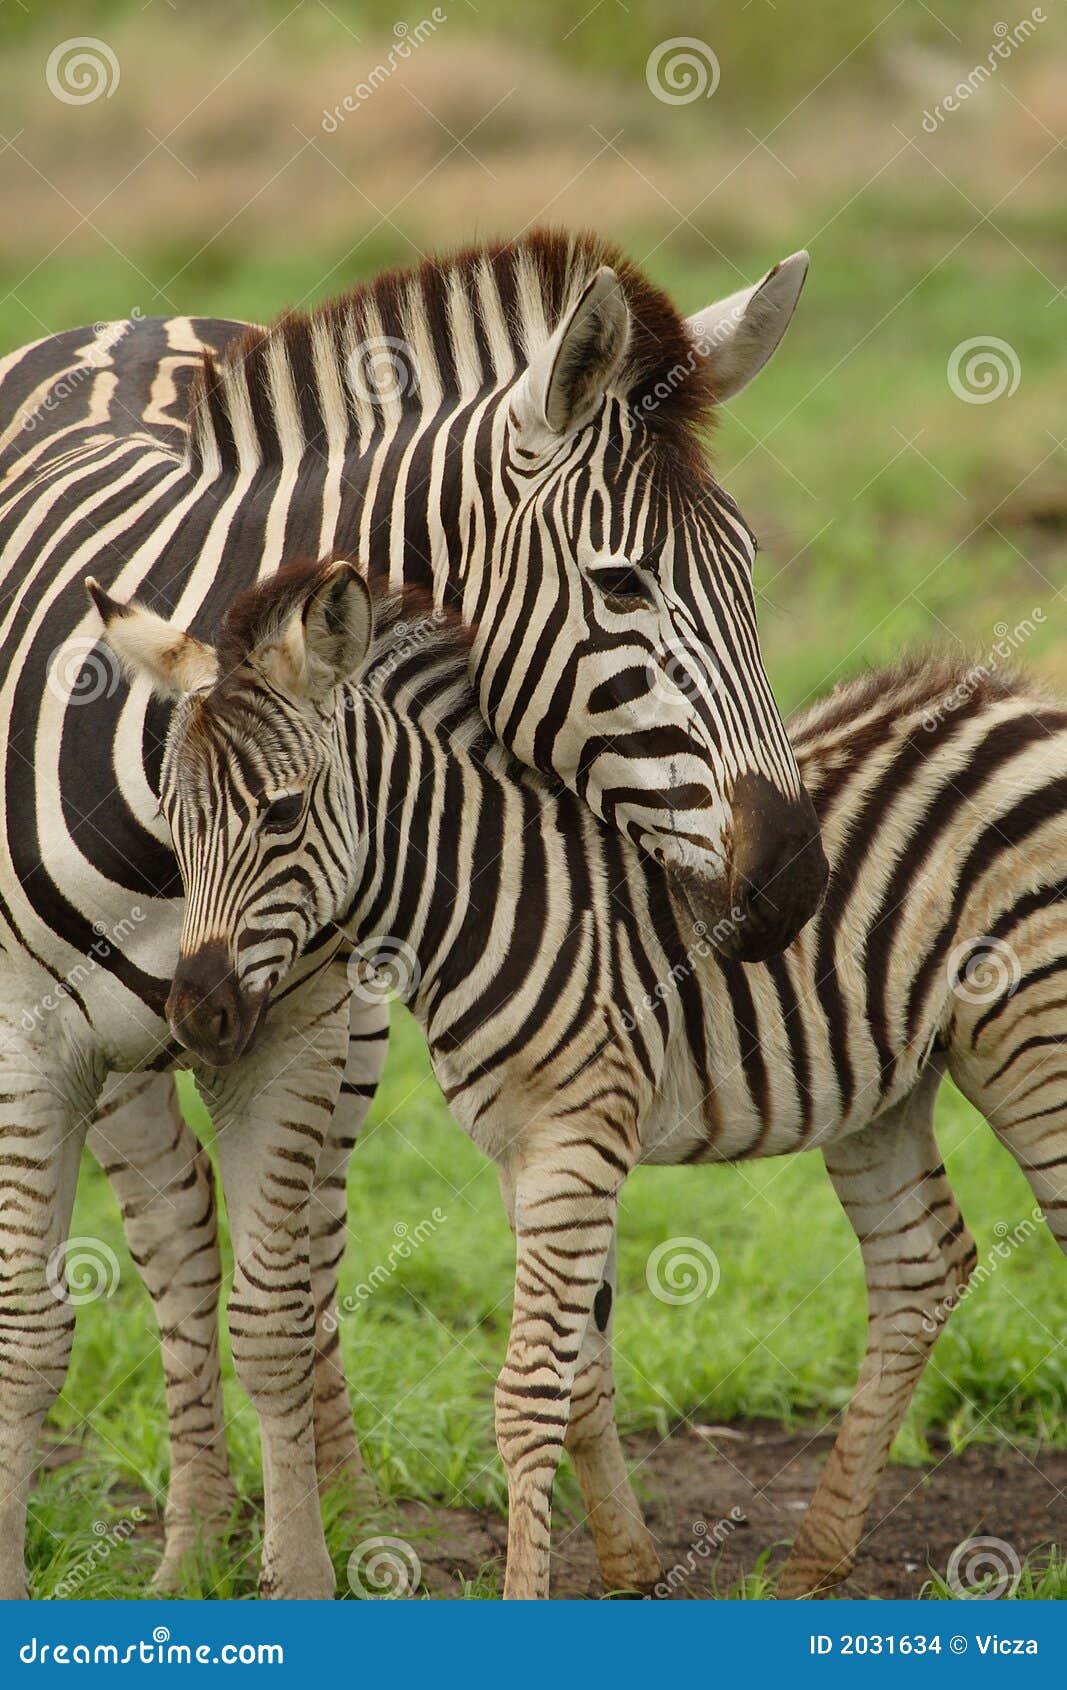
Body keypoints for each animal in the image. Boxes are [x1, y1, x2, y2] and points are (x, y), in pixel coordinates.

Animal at [0, 231, 823, 1598]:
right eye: (620, 583)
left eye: (750, 570)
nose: (795, 881)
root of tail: (130, 322)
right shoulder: (29, 1046)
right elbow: (28, 1330)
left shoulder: (294, 1027)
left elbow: (276, 1314)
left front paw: (303, 1570)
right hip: (115, 1055)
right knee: (171, 1232)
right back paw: (188, 1546)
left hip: (342, 1030)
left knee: (296, 1253)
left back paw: (327, 1517)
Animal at [94, 554, 1067, 1599]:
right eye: (171, 819)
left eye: (281, 813)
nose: (196, 1015)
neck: (488, 899)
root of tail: (1022, 702)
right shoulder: (529, 1153)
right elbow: (581, 1369)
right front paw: (629, 1563)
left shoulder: (575, 1140)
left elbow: (527, 1391)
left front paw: (530, 1591)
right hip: (880, 1086)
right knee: (919, 1265)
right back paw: (814, 1556)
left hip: (1028, 1042)